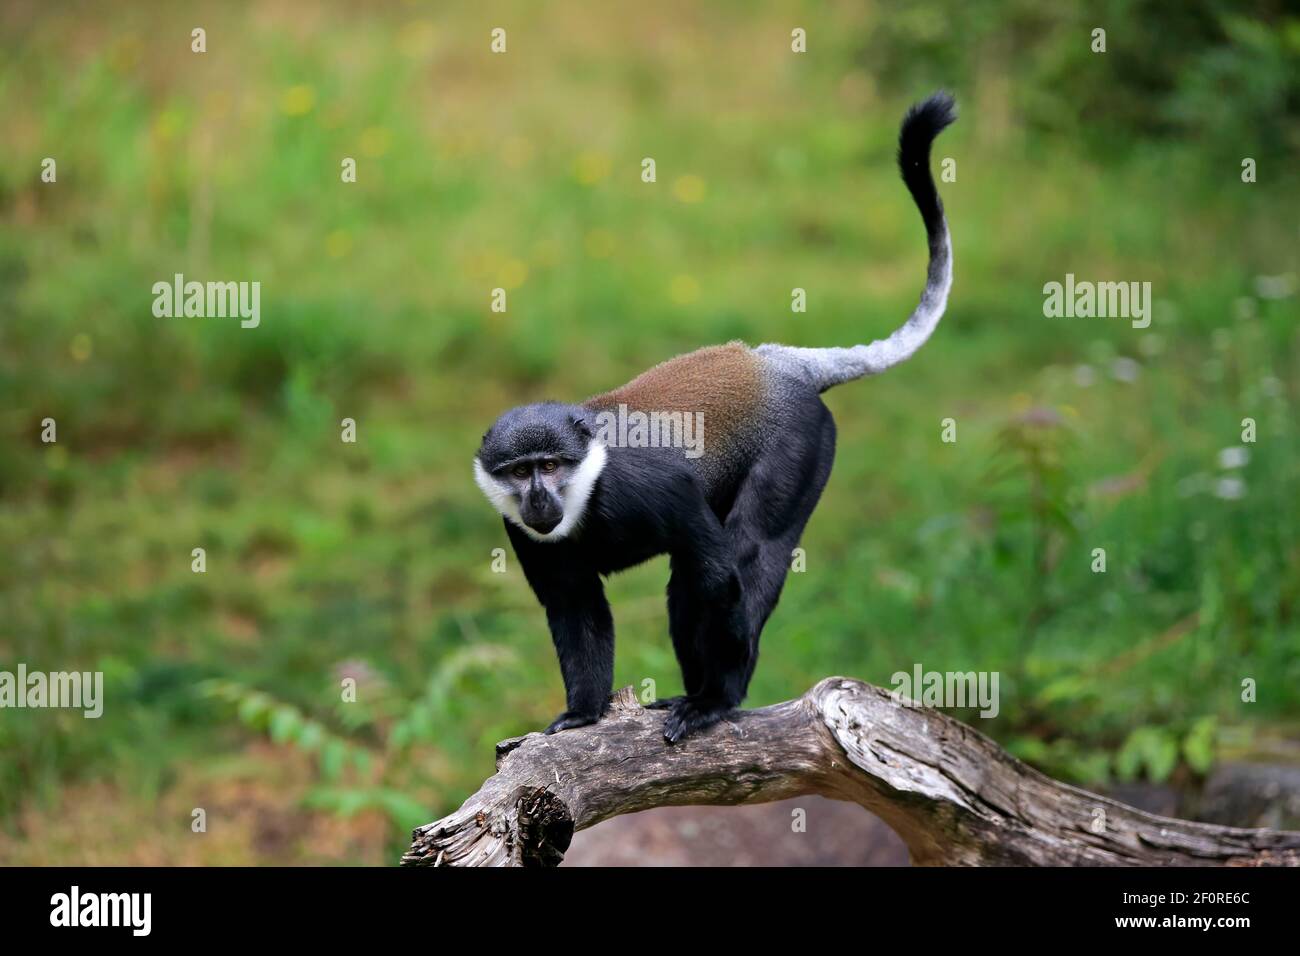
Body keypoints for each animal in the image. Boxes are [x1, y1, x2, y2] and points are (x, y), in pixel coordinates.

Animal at [474, 92, 956, 743]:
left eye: (550, 465)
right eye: (519, 471)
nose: (539, 498)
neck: (586, 489)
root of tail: (779, 364)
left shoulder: (655, 489)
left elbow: (720, 576)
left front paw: (716, 701)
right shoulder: (522, 533)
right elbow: (577, 607)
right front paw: (583, 712)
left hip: (802, 449)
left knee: (743, 555)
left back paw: (711, 696)